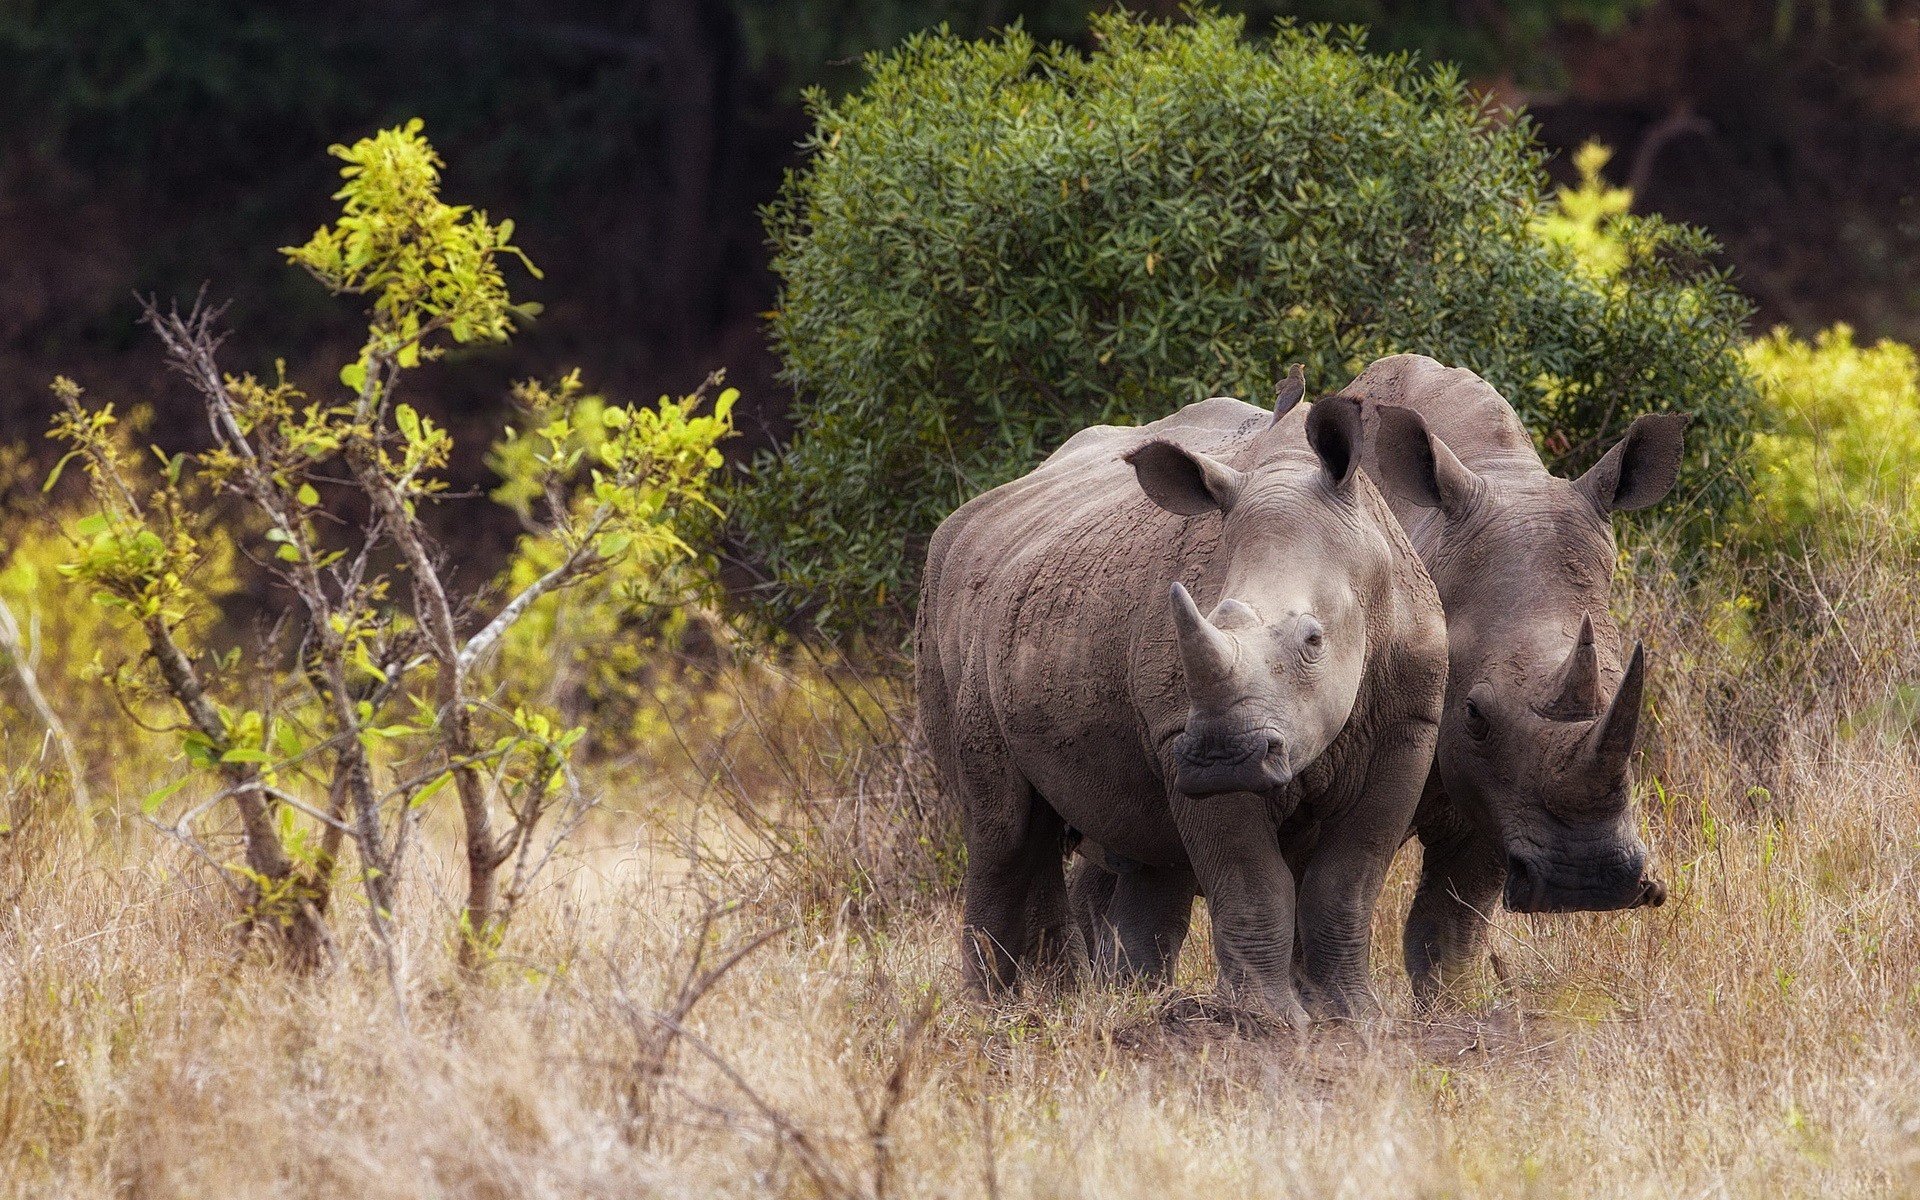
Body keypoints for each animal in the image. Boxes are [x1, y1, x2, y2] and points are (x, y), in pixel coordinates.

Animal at [915, 385, 1450, 1027]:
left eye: (1313, 641)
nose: (1222, 759)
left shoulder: (1408, 726)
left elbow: (1348, 882)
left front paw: (1353, 1018)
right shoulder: (1178, 733)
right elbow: (1250, 879)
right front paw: (1268, 1022)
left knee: (1138, 843)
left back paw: (1102, 999)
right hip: (954, 620)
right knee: (1004, 829)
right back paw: (993, 1012)